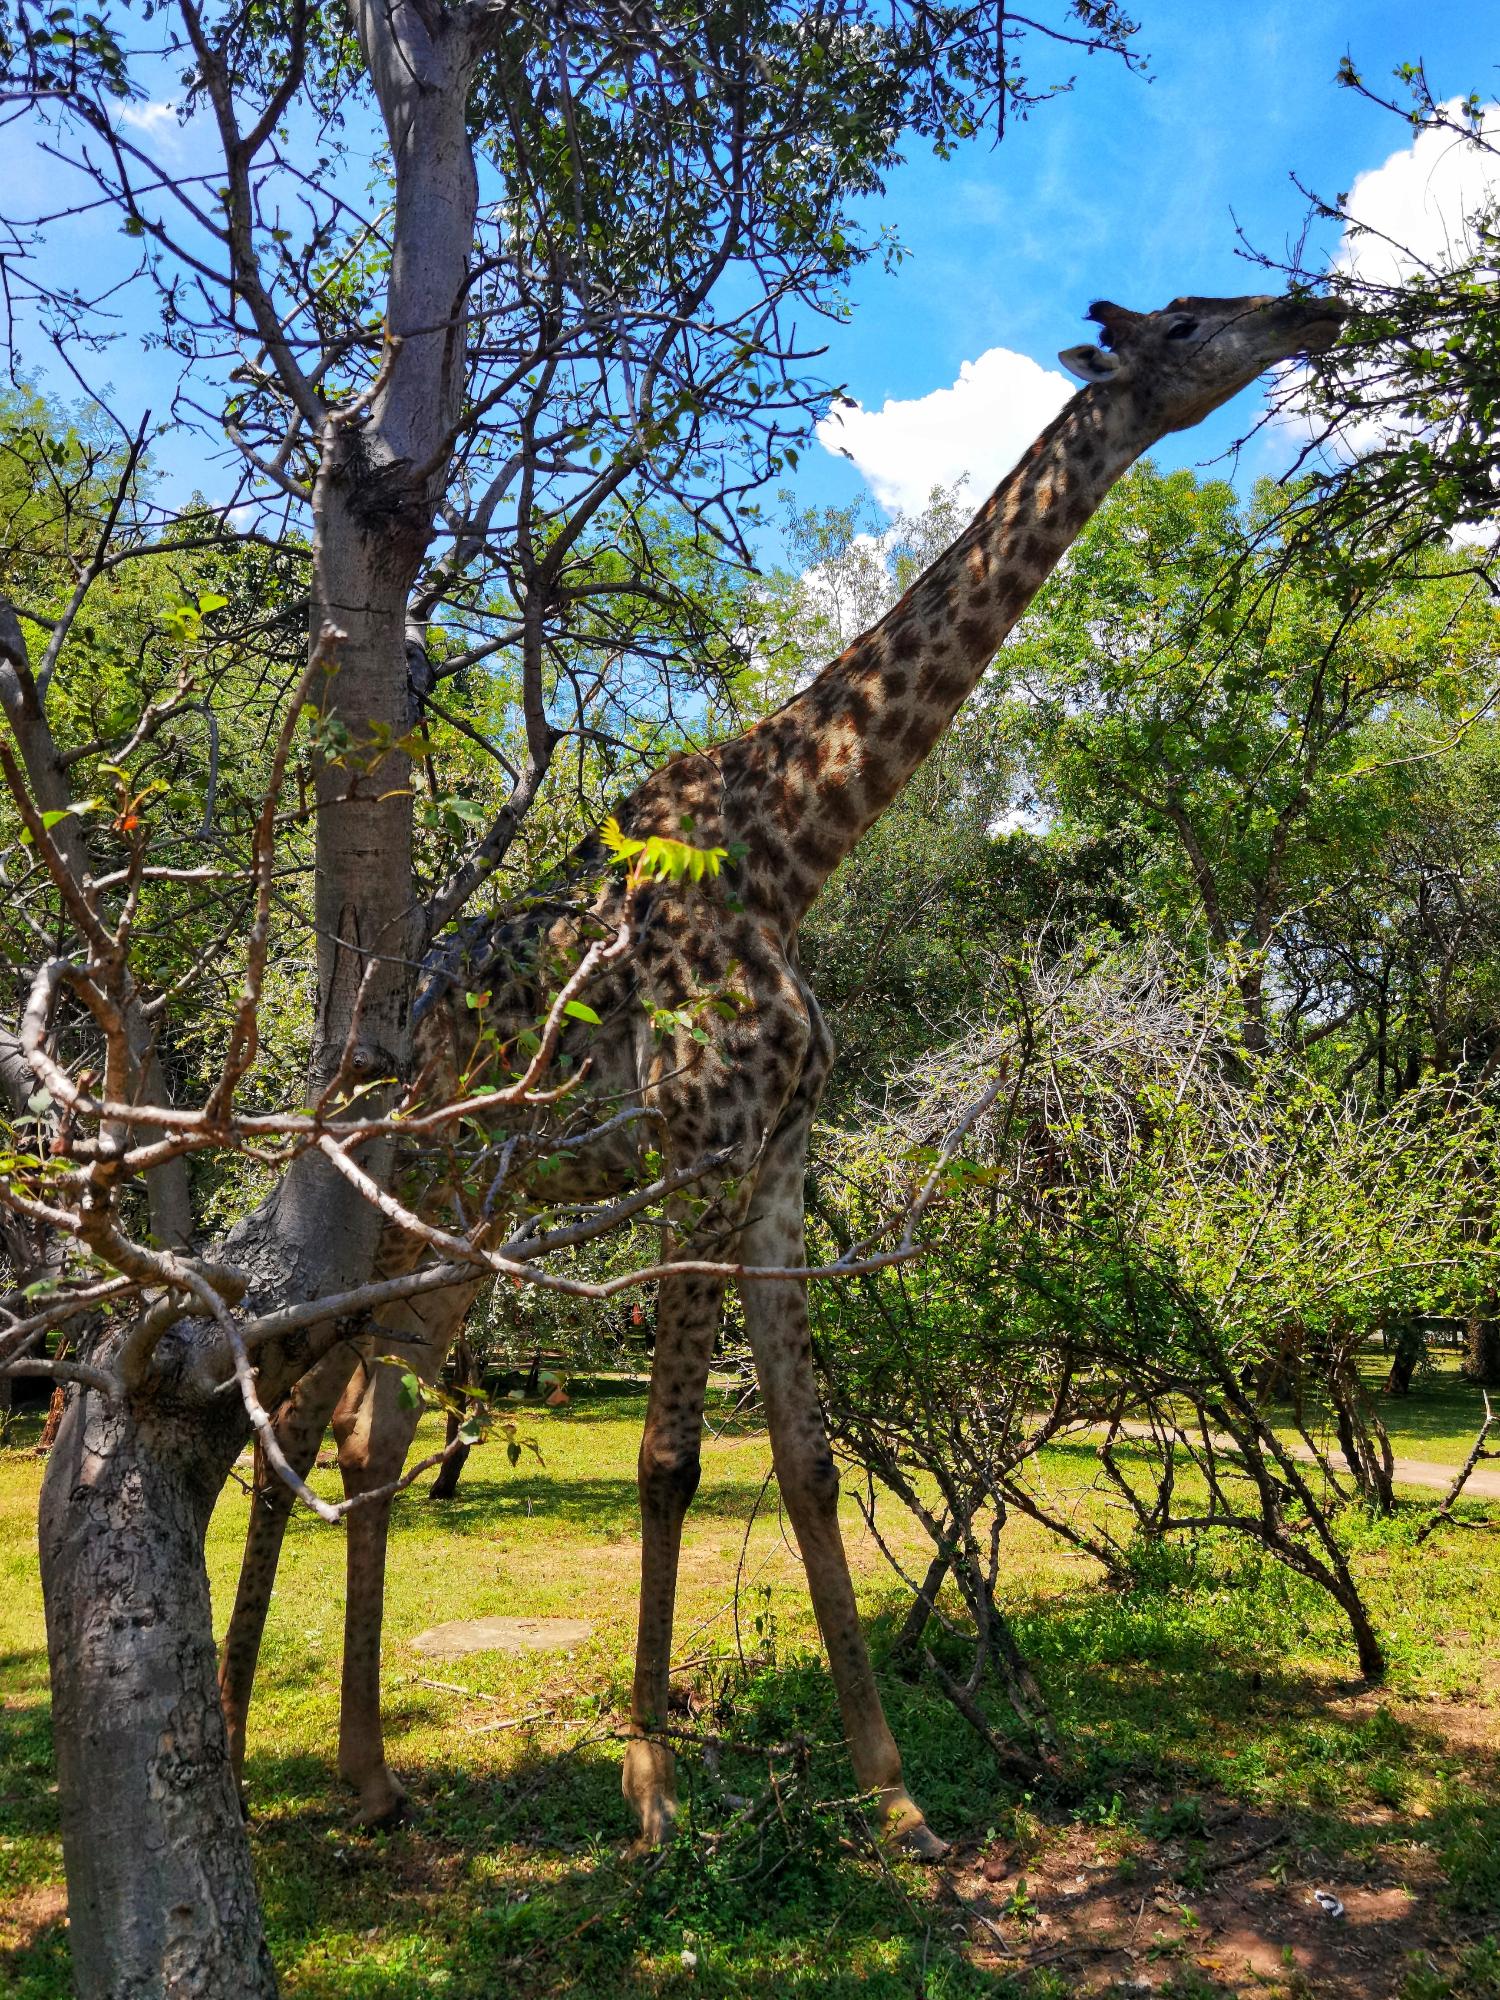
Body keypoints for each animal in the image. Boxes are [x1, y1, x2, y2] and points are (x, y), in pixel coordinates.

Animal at [217, 290, 1344, 1848]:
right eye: (1183, 323)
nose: (1313, 309)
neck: (795, 852)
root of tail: (349, 1073)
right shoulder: (699, 1149)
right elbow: (670, 1459)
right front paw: (651, 1789)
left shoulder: (778, 1161)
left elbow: (808, 1463)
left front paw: (895, 1795)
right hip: (413, 1191)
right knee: (293, 1409)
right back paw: (226, 1735)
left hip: (470, 1222)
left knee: (361, 1431)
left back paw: (369, 1775)